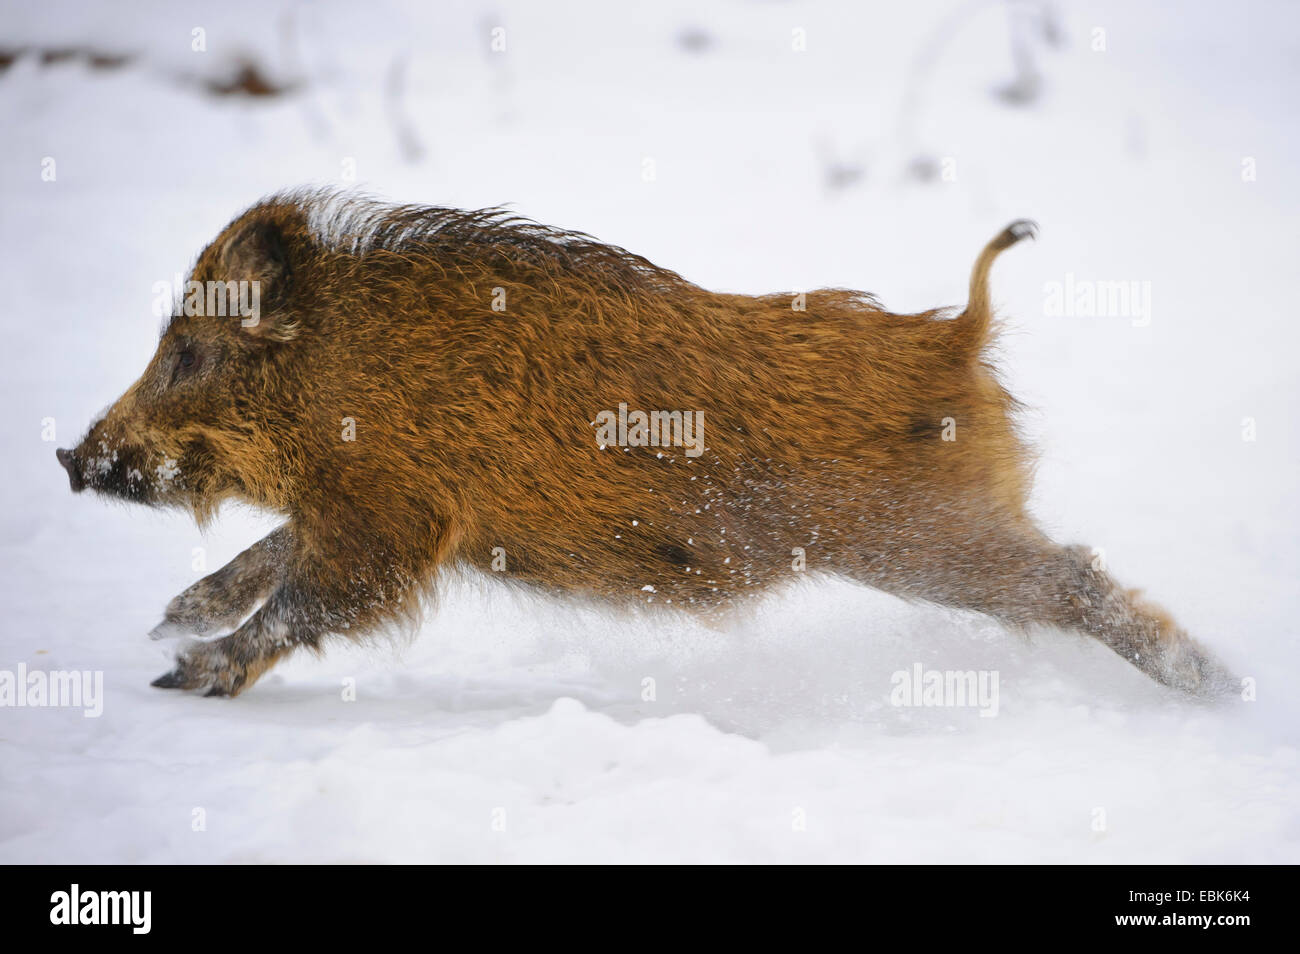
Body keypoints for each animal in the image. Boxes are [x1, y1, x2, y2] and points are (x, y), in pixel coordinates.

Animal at [56, 189, 1235, 697]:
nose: (71, 458)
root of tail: (959, 332)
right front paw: (170, 619)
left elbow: (308, 593)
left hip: (929, 538)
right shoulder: (376, 515)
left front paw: (178, 671)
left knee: (1074, 578)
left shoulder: (392, 523)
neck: (341, 373)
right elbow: (272, 554)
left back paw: (1215, 685)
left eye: (189, 351)